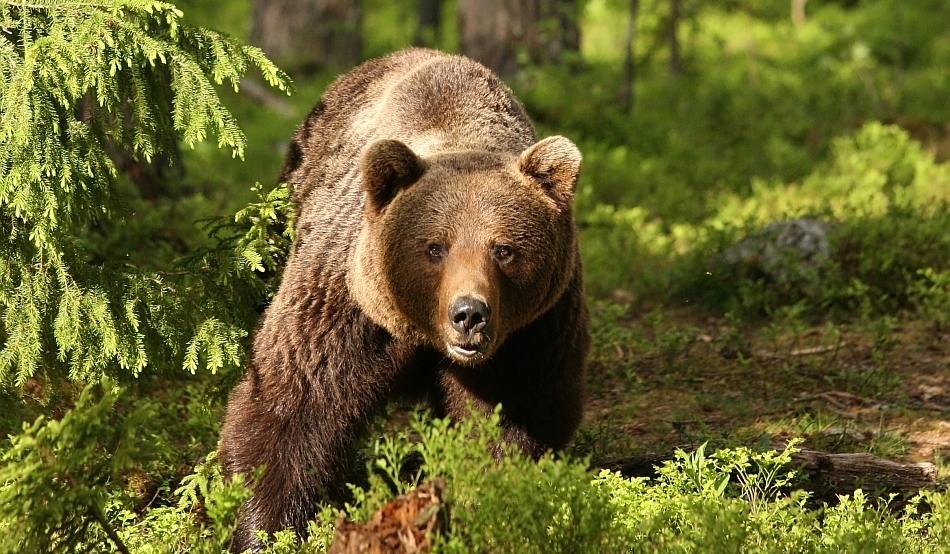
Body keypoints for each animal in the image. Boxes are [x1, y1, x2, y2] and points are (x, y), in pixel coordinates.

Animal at [218, 47, 589, 552]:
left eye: (504, 249)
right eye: (434, 248)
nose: (468, 314)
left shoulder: (532, 330)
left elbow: (512, 416)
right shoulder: (345, 304)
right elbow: (293, 402)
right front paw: (263, 528)